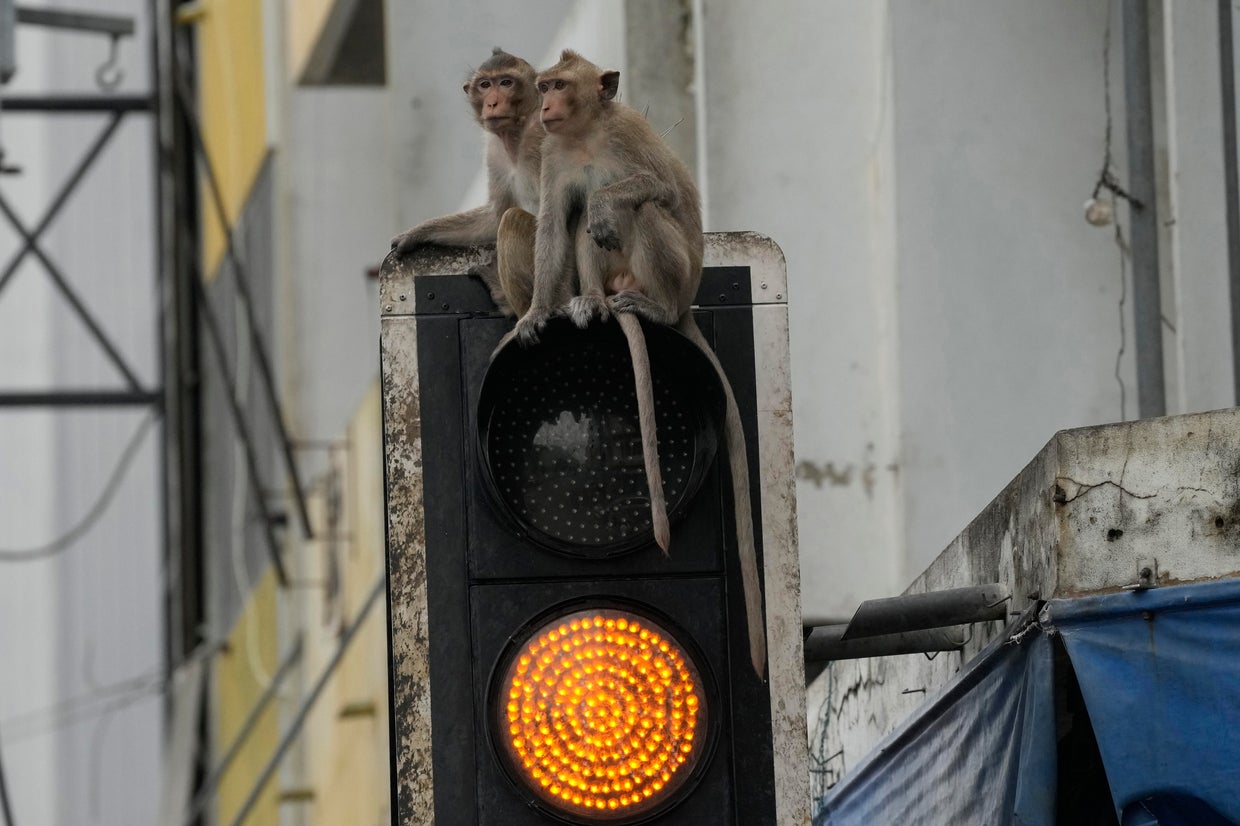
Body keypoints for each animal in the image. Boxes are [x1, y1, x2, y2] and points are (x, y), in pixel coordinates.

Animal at [390, 48, 541, 316]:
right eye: (485, 85)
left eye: (506, 83)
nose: (492, 102)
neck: (516, 134)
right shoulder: (494, 151)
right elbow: (494, 216)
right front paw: (418, 232)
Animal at [513, 50, 766, 676]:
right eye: (544, 86)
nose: (546, 106)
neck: (585, 136)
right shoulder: (553, 156)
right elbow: (554, 226)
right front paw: (536, 311)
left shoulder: (629, 136)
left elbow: (661, 188)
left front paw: (616, 201)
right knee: (581, 224)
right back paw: (592, 302)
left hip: (675, 271)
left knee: (641, 210)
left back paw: (653, 303)